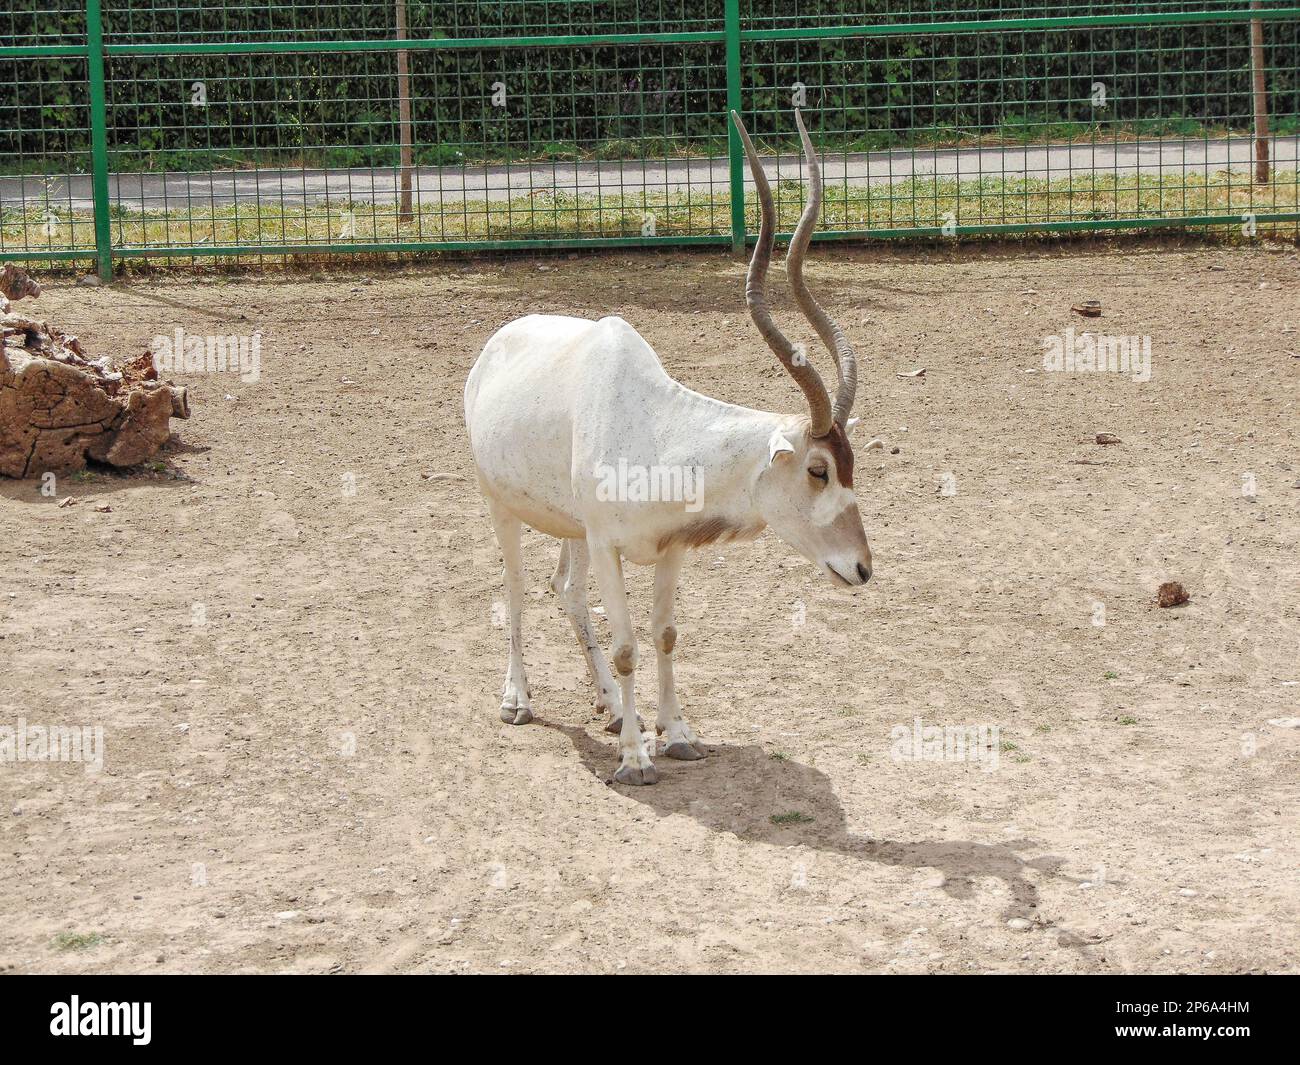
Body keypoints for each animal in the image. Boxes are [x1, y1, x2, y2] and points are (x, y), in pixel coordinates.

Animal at [464, 109, 873, 785]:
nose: (862, 568)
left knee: (565, 591)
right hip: (503, 506)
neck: (657, 433)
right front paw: (635, 757)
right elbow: (629, 645)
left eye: (849, 466)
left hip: (572, 527)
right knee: (518, 591)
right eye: (817, 470)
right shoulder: (609, 545)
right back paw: (518, 700)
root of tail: (496, 344)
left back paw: (607, 706)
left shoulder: (669, 547)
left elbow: (664, 635)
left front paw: (675, 733)